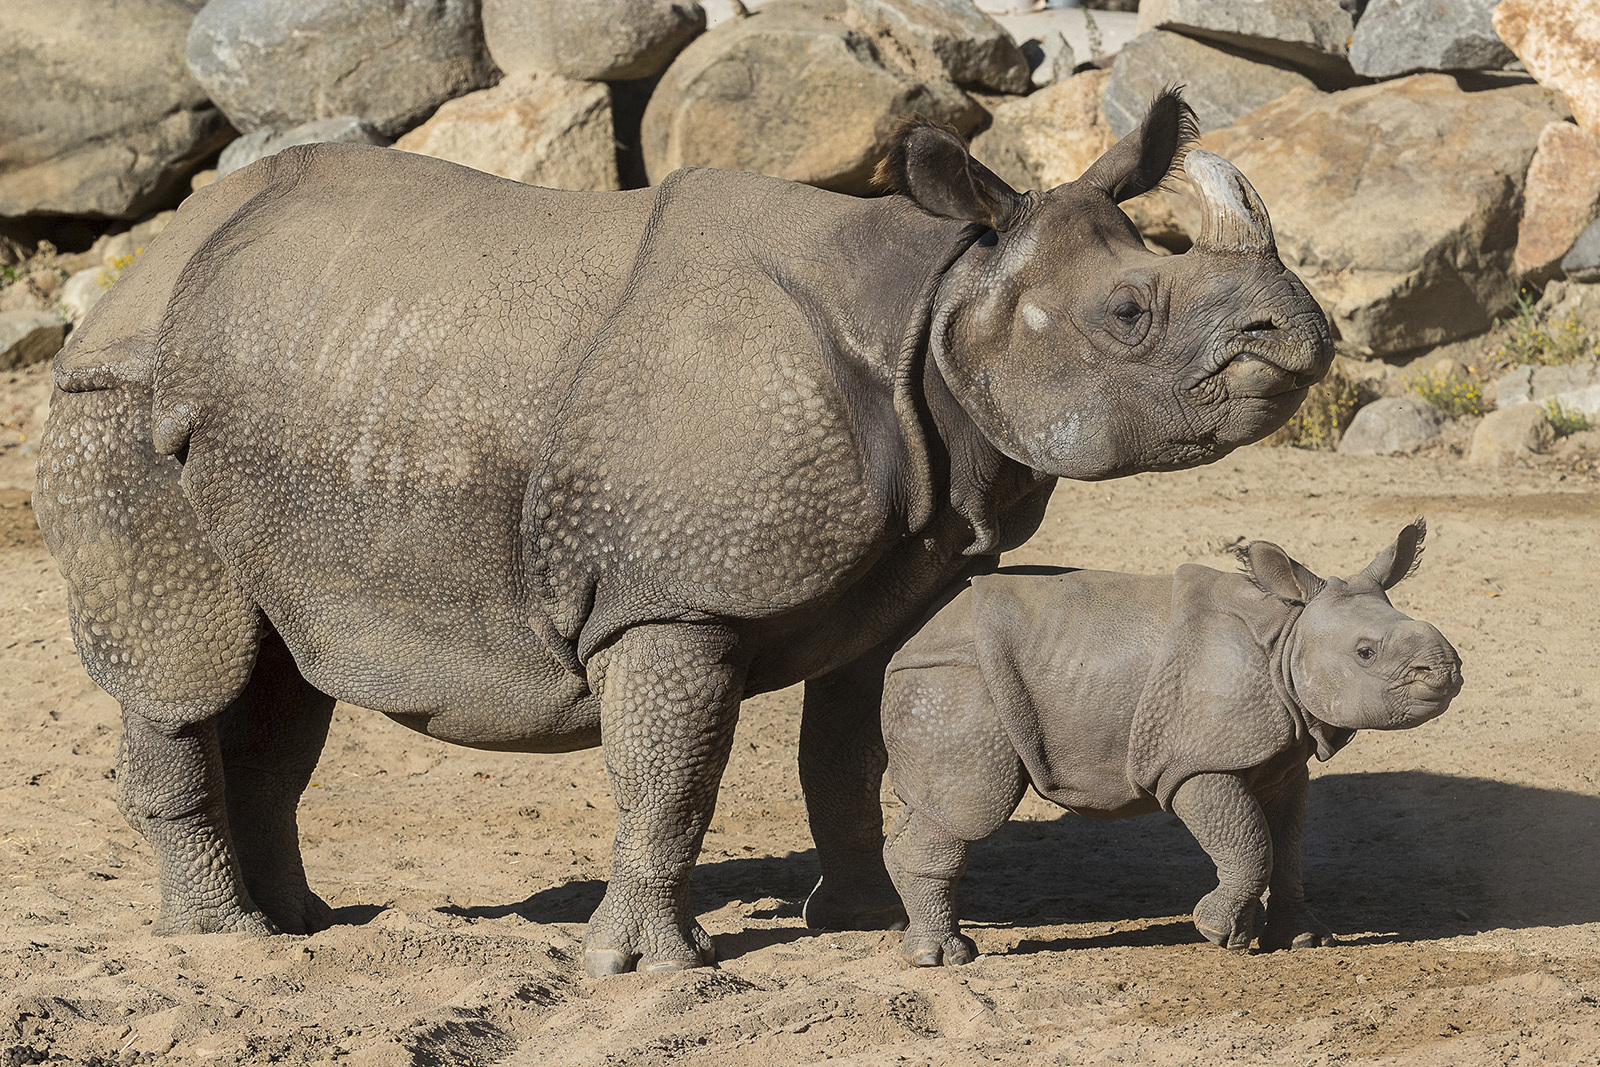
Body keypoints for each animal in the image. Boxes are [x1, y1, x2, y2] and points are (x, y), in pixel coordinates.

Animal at [34, 89, 1333, 977]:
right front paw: (652, 966)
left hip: (303, 394)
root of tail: (141, 269)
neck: (936, 299)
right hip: (120, 408)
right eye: (1130, 313)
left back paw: (302, 923)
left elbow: (845, 751)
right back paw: (224, 936)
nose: (1303, 332)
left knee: (285, 675)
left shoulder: (895, 574)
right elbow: (671, 776)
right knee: (190, 669)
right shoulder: (677, 594)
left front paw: (857, 918)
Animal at [880, 522, 1463, 966]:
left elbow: (1288, 846)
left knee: (932, 809)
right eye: (1366, 653)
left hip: (949, 679)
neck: (1288, 636)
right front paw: (1217, 933)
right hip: (957, 680)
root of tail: (908, 641)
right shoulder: (1195, 761)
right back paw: (944, 958)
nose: (1448, 671)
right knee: (971, 809)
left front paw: (1303, 940)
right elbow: (1252, 844)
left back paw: (921, 944)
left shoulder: (1281, 760)